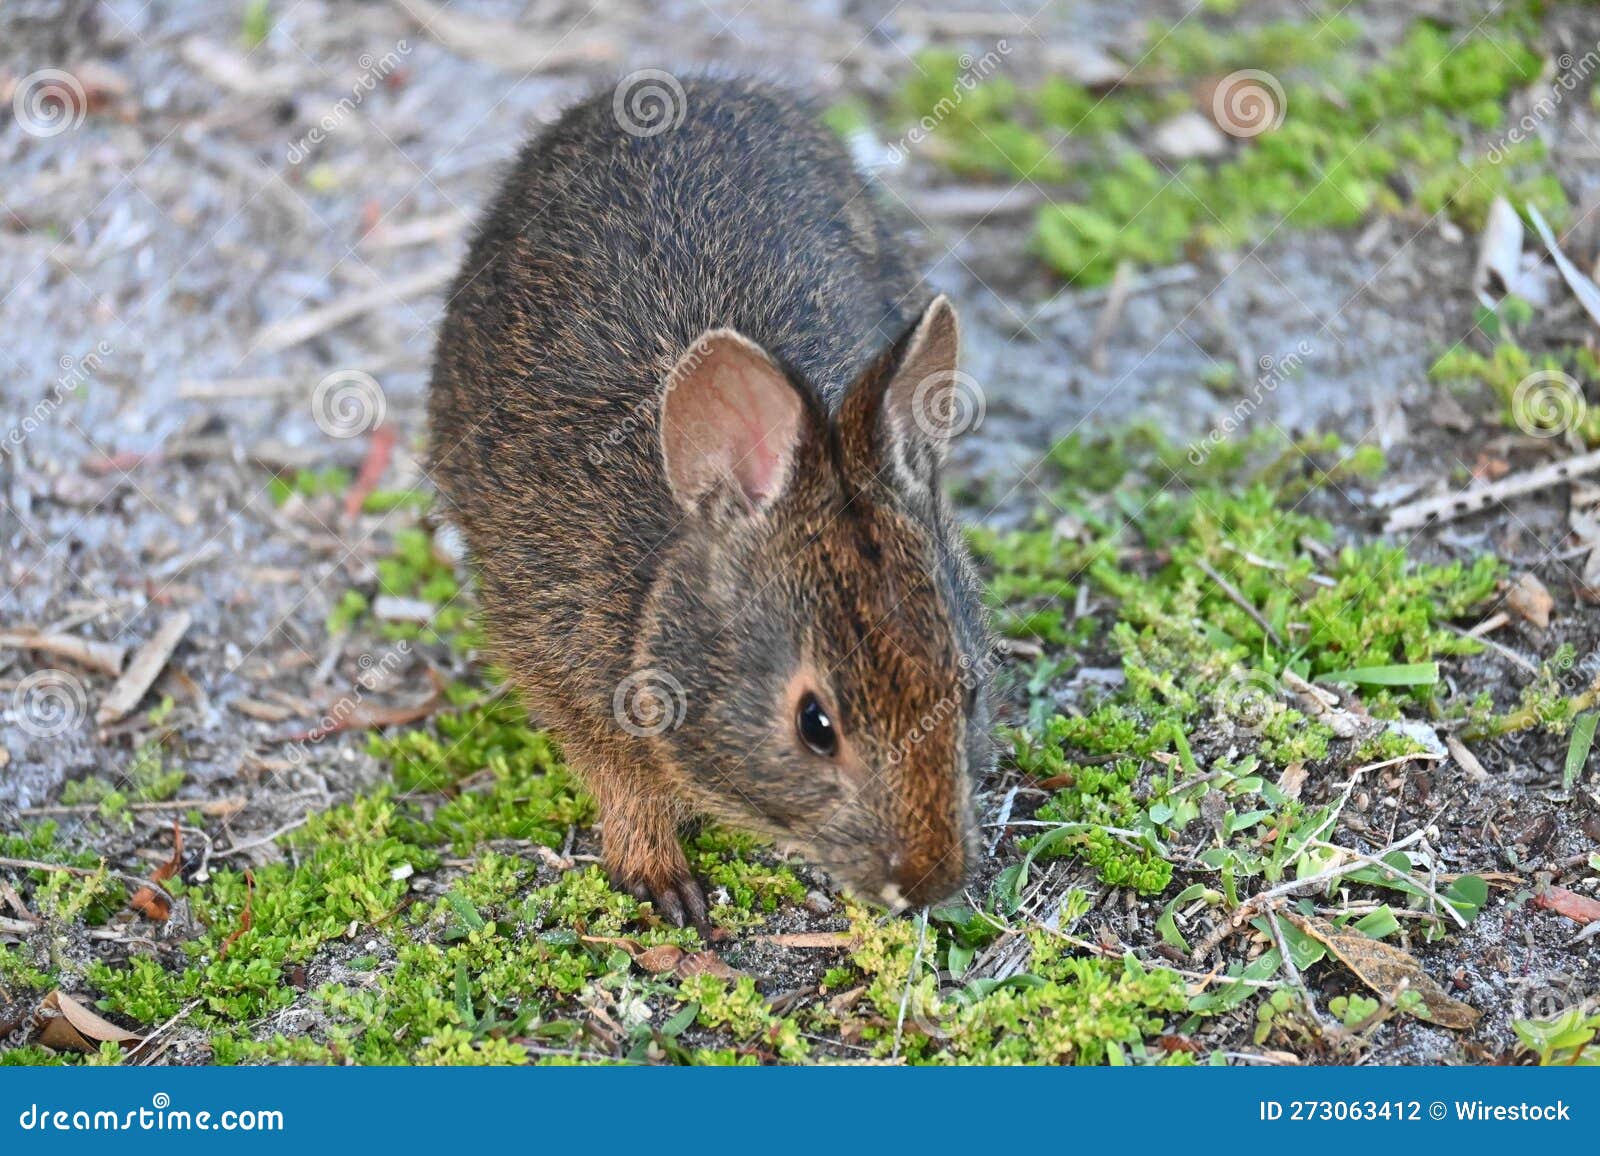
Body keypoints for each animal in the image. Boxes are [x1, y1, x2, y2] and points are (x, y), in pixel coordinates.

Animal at [428, 76, 994, 929]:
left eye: (967, 690)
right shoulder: (555, 654)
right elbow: (616, 775)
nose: (927, 883)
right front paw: (661, 879)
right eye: (816, 726)